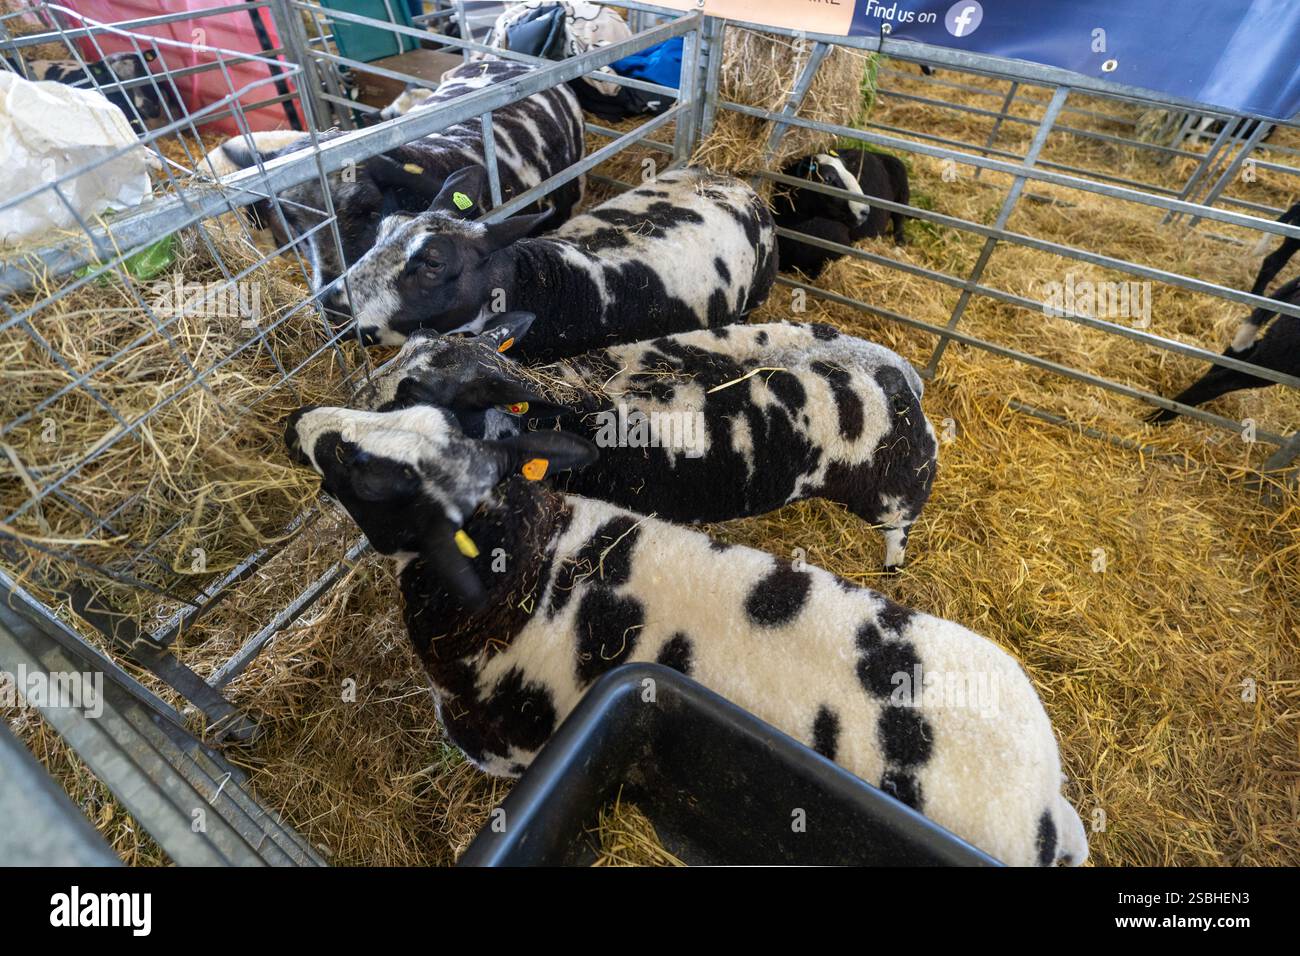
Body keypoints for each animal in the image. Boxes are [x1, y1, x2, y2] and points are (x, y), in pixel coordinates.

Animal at [359, 313, 937, 570]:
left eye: (417, 391)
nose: (359, 399)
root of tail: (900, 372)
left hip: (898, 485)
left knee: (901, 522)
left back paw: (892, 564)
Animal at [773, 148, 910, 278]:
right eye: (827, 178)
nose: (865, 211)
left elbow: (812, 277)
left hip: (902, 193)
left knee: (899, 220)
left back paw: (899, 243)